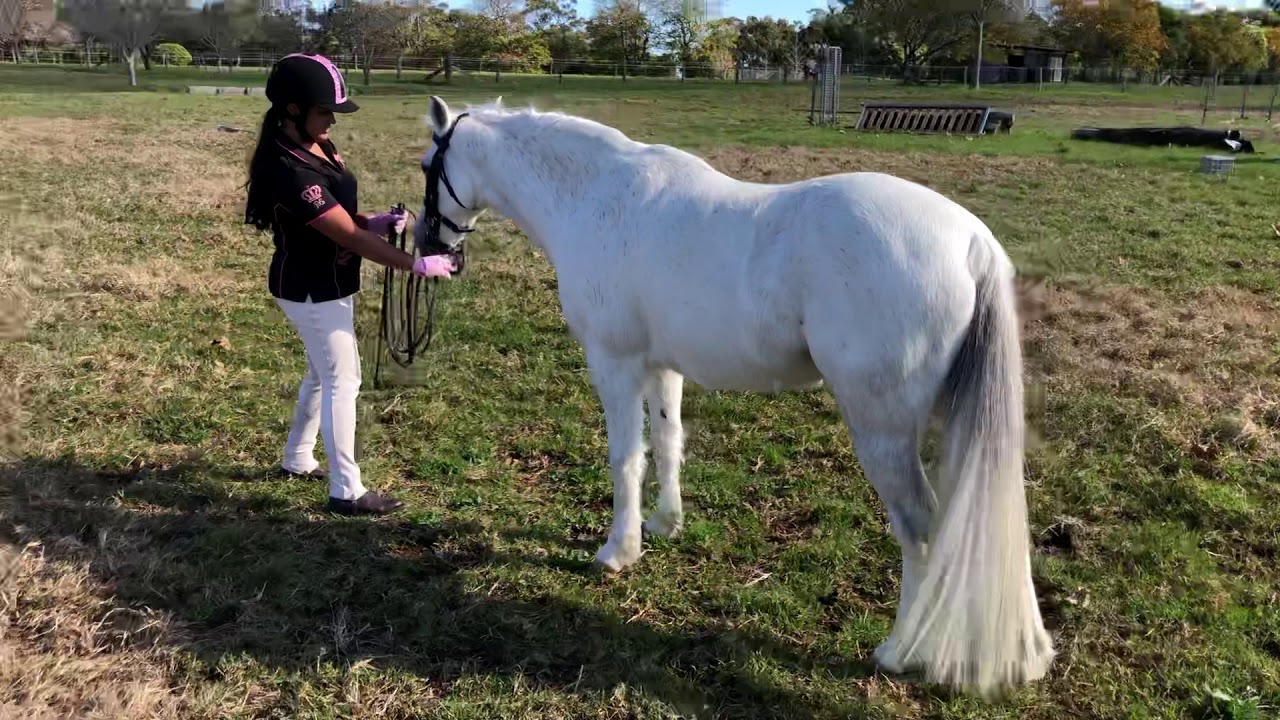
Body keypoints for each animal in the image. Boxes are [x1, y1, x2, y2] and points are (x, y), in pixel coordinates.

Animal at [412, 95, 1055, 699]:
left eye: (426, 165)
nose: (427, 245)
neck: (595, 199)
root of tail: (970, 242)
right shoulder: (661, 366)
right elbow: (667, 439)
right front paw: (664, 524)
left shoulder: (615, 363)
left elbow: (626, 458)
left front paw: (618, 550)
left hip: (884, 431)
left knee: (919, 525)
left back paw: (900, 650)